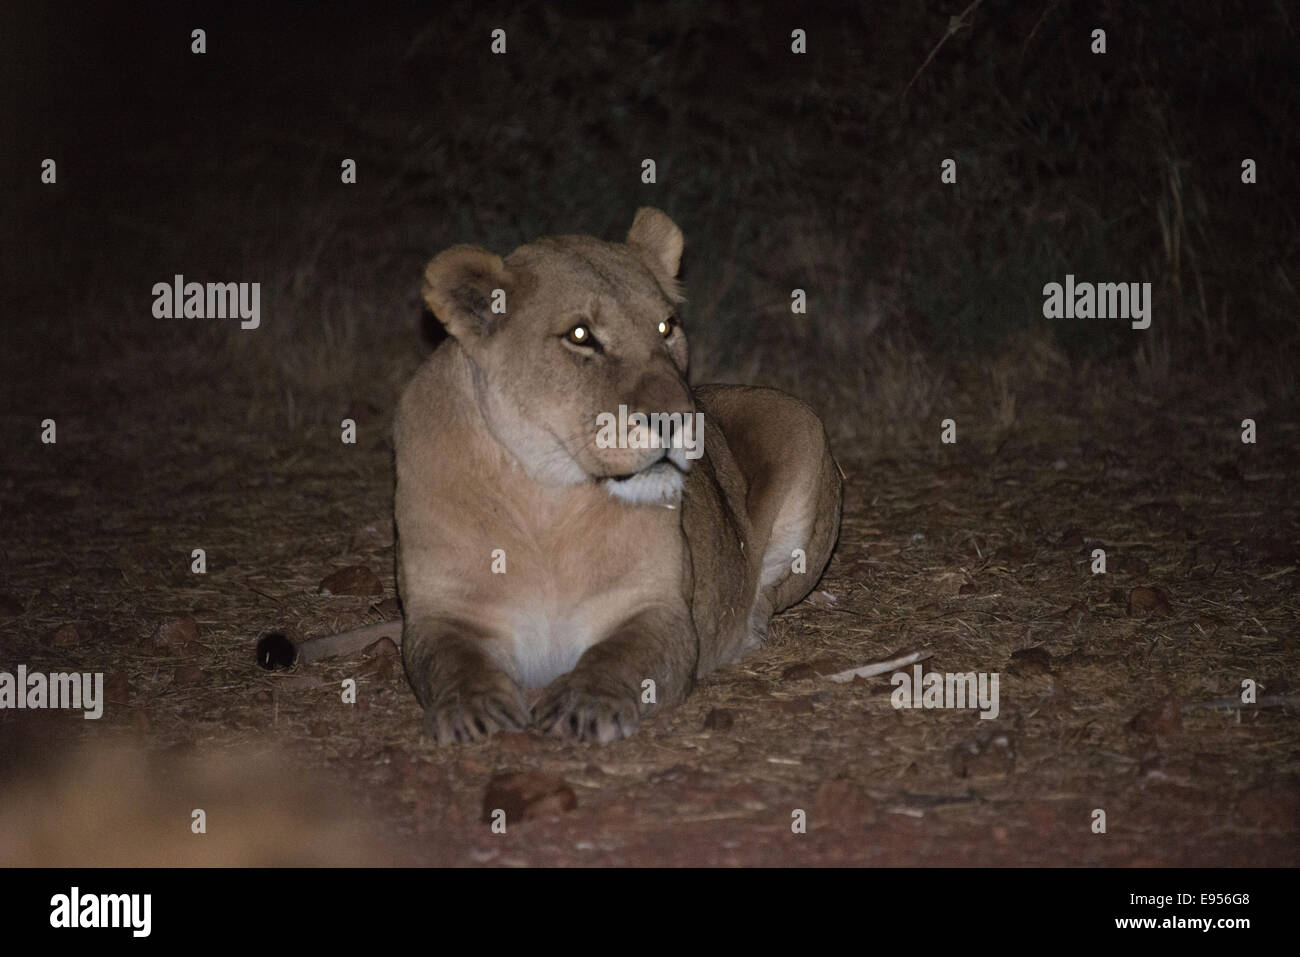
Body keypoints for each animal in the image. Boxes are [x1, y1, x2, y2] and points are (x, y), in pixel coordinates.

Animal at [394, 208, 841, 742]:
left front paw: (587, 703)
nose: (679, 420)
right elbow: (451, 661)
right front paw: (472, 707)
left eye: (666, 327)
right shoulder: (440, 610)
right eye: (580, 336)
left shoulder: (657, 609)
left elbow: (619, 657)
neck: (546, 496)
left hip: (799, 421)